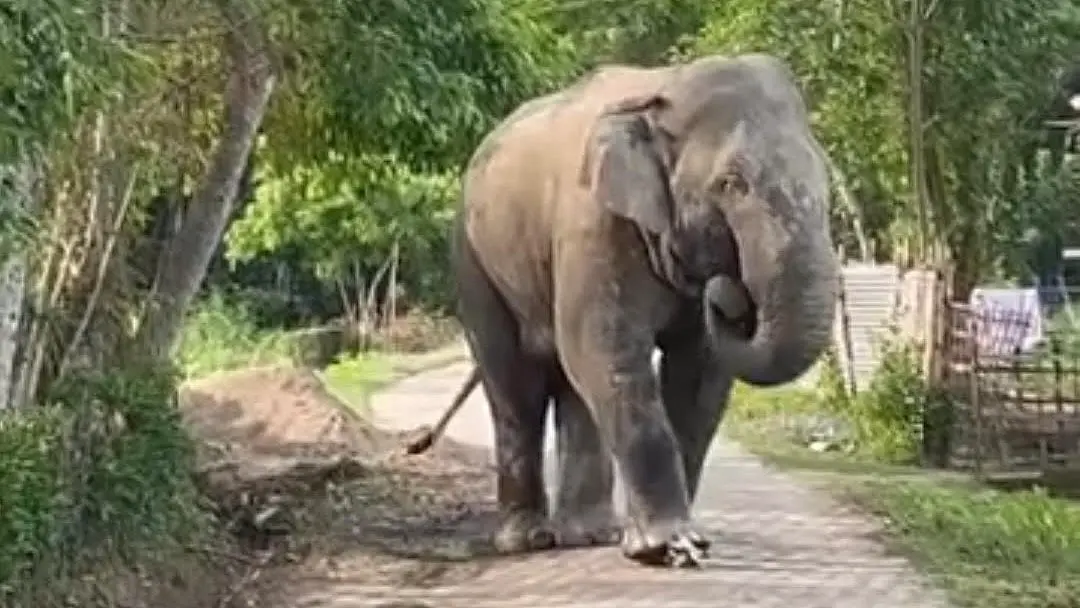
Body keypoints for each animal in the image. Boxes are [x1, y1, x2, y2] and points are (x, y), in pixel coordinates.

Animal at [448, 52, 838, 568]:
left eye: (826, 179)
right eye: (731, 183)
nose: (726, 293)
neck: (664, 88)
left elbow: (698, 374)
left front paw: (682, 542)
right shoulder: (594, 222)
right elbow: (608, 352)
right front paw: (667, 547)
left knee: (573, 389)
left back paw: (590, 534)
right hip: (475, 264)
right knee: (516, 385)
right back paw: (525, 539)